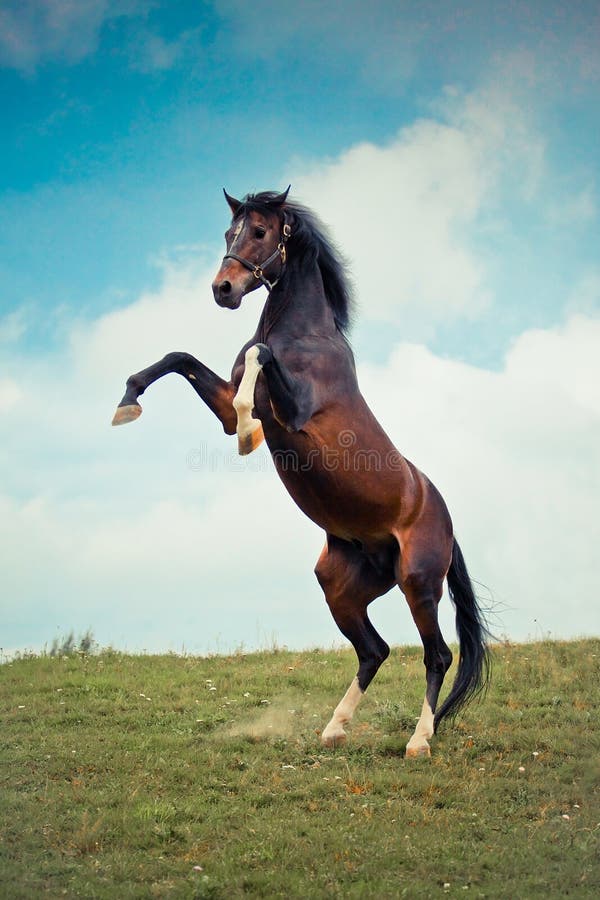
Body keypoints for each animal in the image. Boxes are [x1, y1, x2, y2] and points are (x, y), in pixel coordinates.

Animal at [112, 187, 489, 757]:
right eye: (229, 232)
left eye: (261, 232)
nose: (223, 289)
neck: (304, 337)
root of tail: (446, 524)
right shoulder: (222, 403)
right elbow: (181, 358)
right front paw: (127, 403)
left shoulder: (294, 416)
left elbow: (258, 353)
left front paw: (250, 434)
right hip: (341, 586)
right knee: (374, 650)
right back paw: (334, 728)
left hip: (418, 582)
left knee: (437, 655)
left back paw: (418, 741)